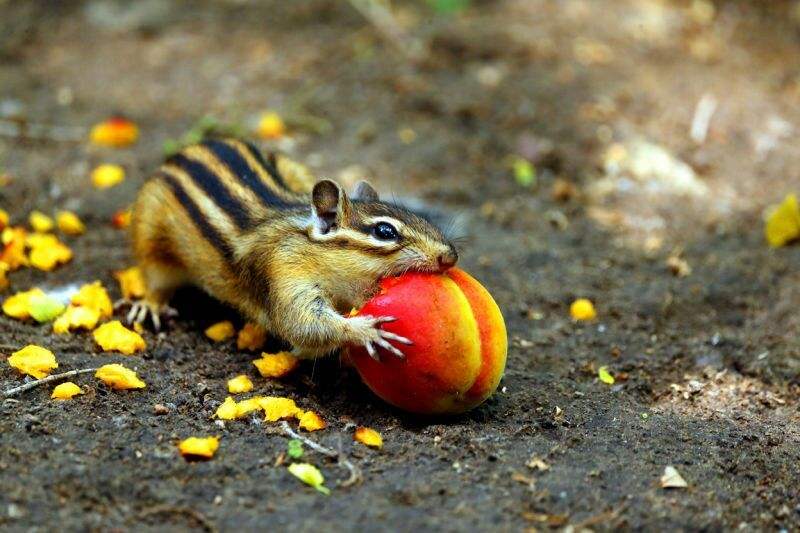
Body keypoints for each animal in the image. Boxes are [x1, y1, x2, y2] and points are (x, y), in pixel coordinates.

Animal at [129, 137, 459, 360]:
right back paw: (150, 305)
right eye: (384, 231)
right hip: (151, 235)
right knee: (156, 278)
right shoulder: (284, 271)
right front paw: (366, 330)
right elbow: (302, 325)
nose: (450, 256)